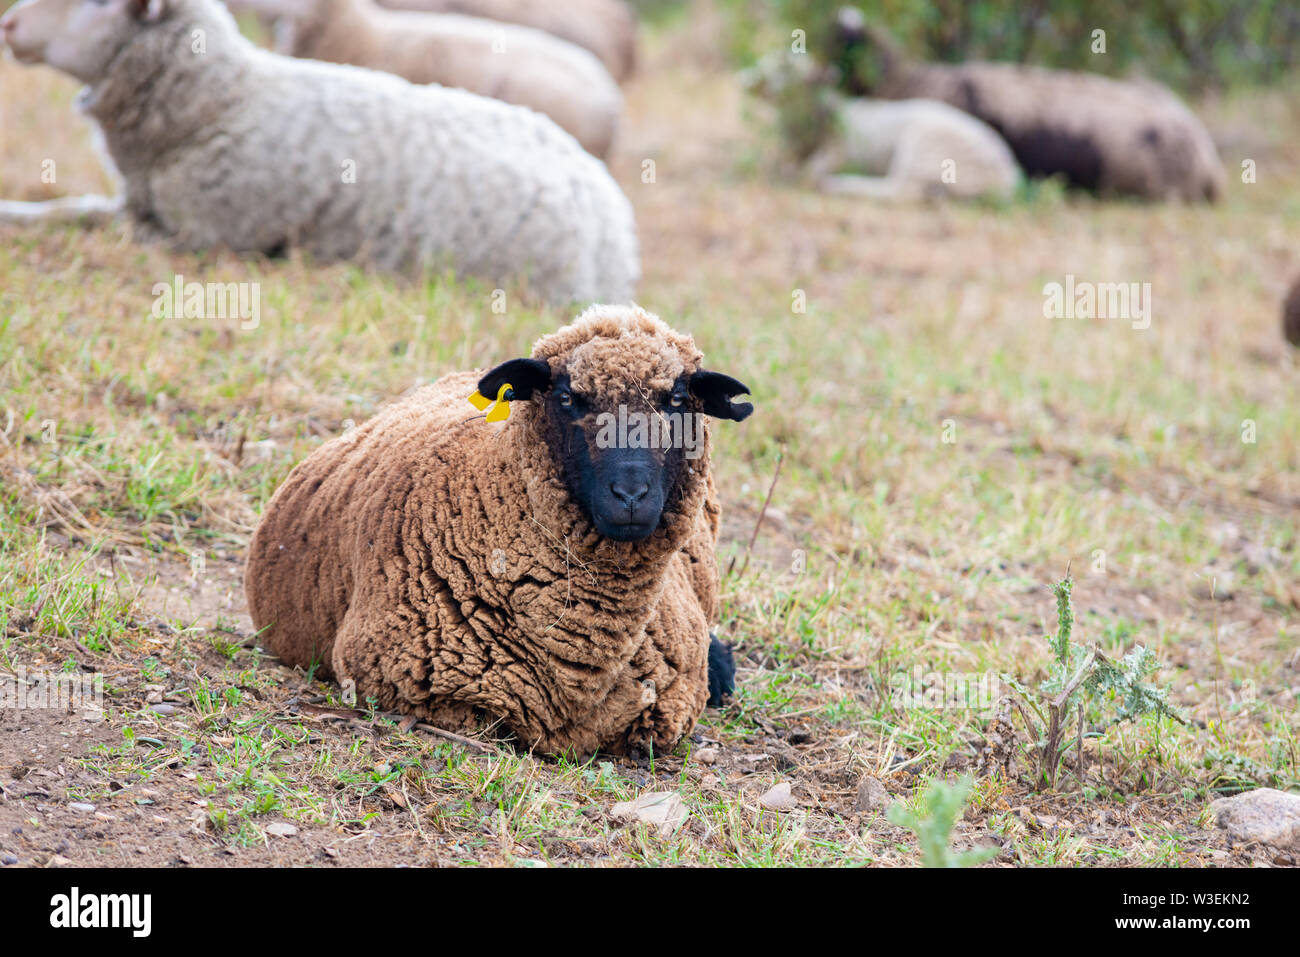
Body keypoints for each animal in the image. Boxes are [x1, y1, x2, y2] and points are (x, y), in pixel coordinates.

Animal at [744, 51, 1020, 202]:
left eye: (784, 67)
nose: (746, 80)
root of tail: (1006, 177)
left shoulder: (841, 150)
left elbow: (808, 171)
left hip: (923, 150)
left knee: (902, 191)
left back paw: (837, 184)